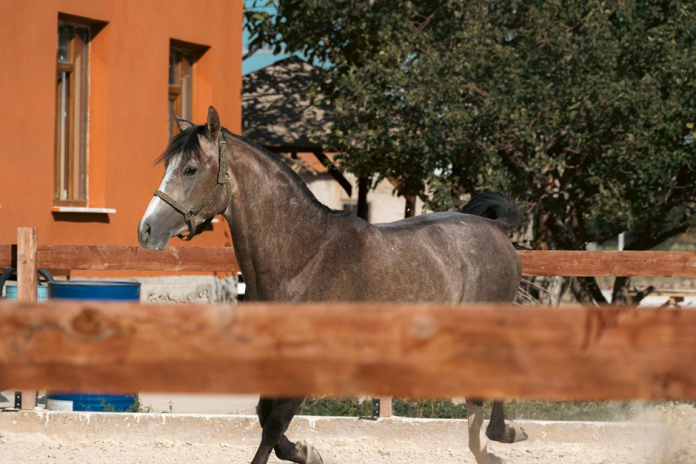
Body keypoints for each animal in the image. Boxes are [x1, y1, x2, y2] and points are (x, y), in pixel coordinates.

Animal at [138, 106, 528, 464]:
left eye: (190, 169)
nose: (145, 230)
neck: (303, 256)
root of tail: (497, 229)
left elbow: (273, 425)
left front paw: (304, 451)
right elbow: (266, 416)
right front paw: (306, 452)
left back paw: (504, 434)